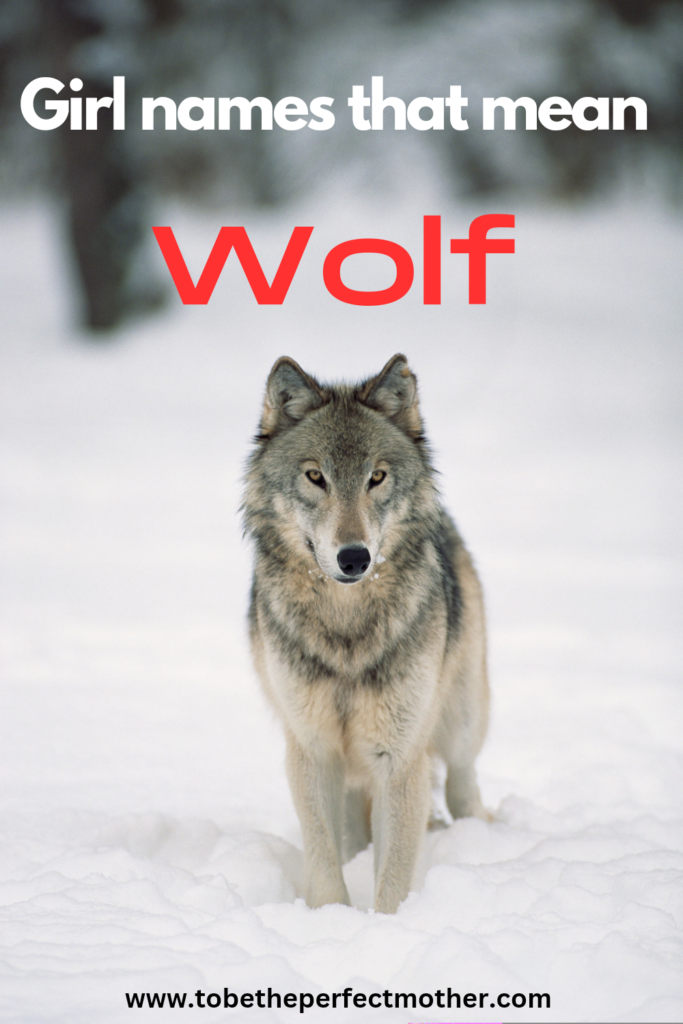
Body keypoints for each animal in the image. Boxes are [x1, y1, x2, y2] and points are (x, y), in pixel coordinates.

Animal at [243, 354, 489, 914]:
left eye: (376, 477)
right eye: (316, 476)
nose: (354, 558)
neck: (346, 628)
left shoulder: (399, 758)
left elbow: (394, 875)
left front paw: (387, 926)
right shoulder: (311, 749)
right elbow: (323, 855)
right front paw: (330, 918)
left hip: (460, 722)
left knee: (463, 784)